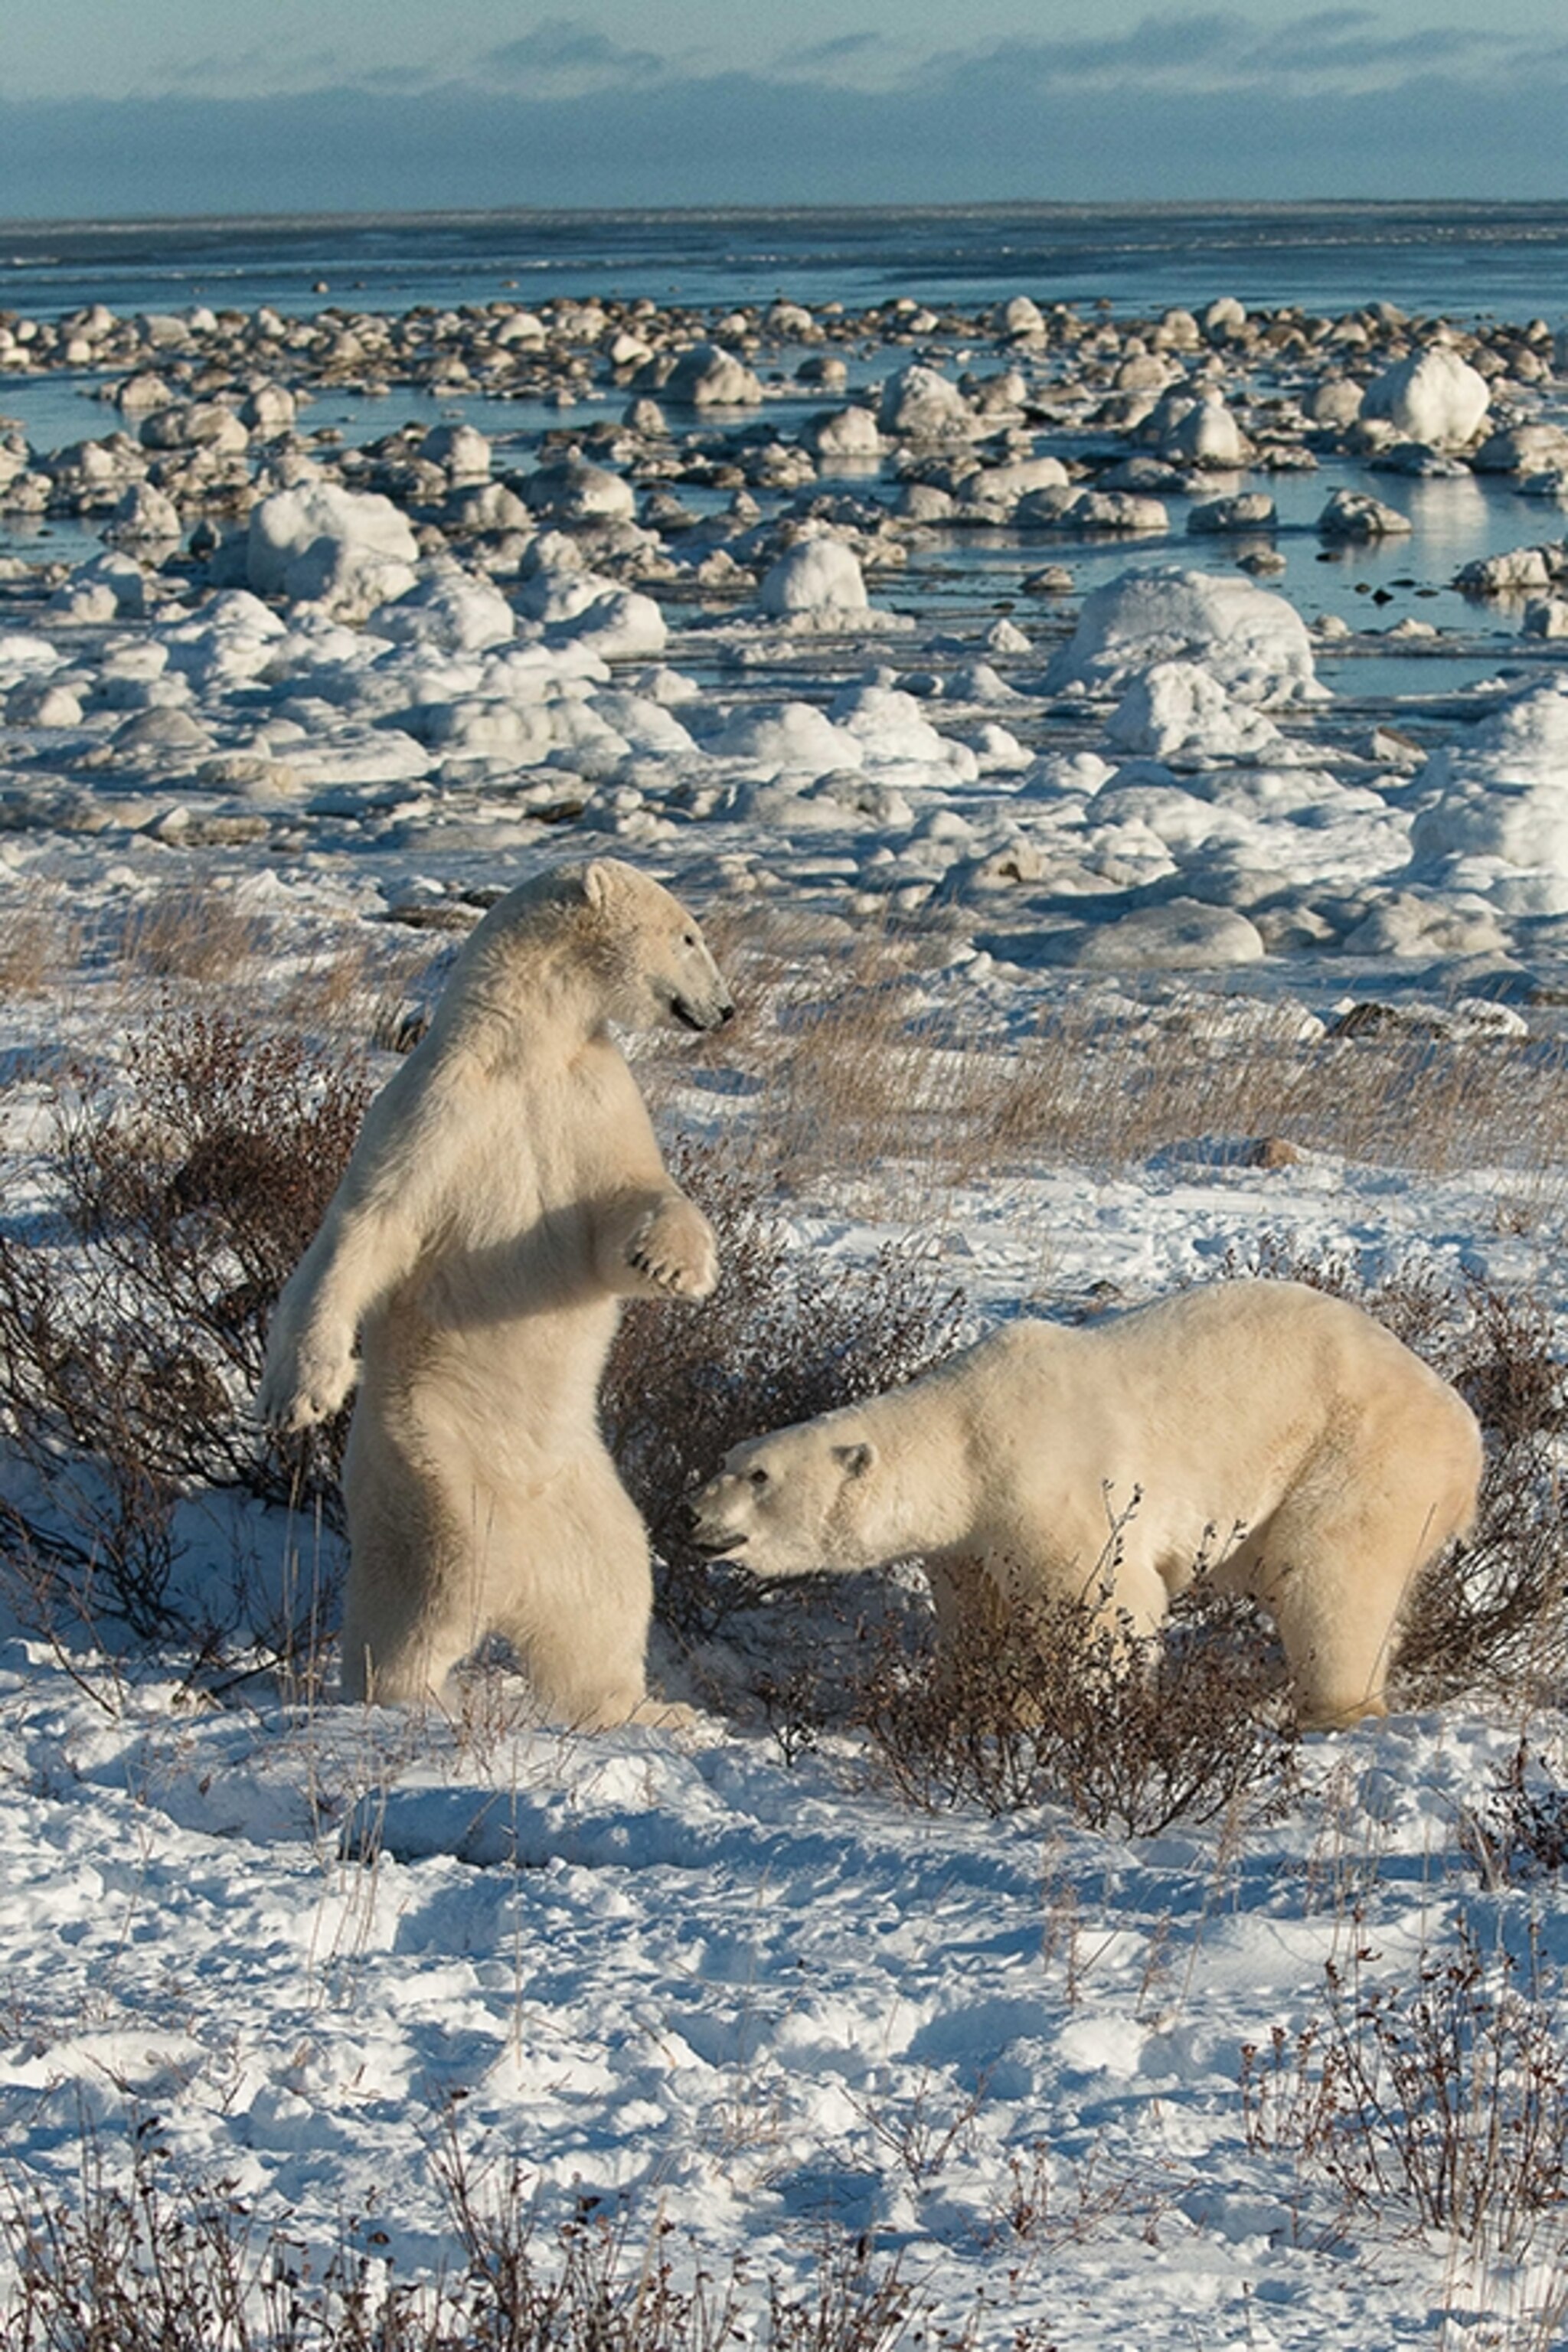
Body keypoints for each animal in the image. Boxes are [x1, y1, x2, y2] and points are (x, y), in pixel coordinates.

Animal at [258, 857, 733, 1721]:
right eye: (688, 935)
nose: (723, 1008)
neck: (526, 1045)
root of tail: (525, 1573)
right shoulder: (441, 1106)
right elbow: (369, 1225)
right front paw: (300, 1390)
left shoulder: (590, 1097)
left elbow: (624, 1205)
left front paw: (674, 1265)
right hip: (432, 1460)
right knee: (435, 1585)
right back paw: (415, 1698)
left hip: (589, 1503)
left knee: (610, 1598)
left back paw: (643, 1710)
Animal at [685, 1280, 1483, 1730]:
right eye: (725, 1461)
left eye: (758, 1477)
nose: (694, 1517)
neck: (967, 1429)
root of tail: (1465, 1433)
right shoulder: (968, 1543)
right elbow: (980, 1621)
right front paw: (982, 1705)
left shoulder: (1049, 1484)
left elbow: (1104, 1605)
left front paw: (1080, 1717)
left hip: (1361, 1451)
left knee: (1328, 1572)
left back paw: (1335, 1710)